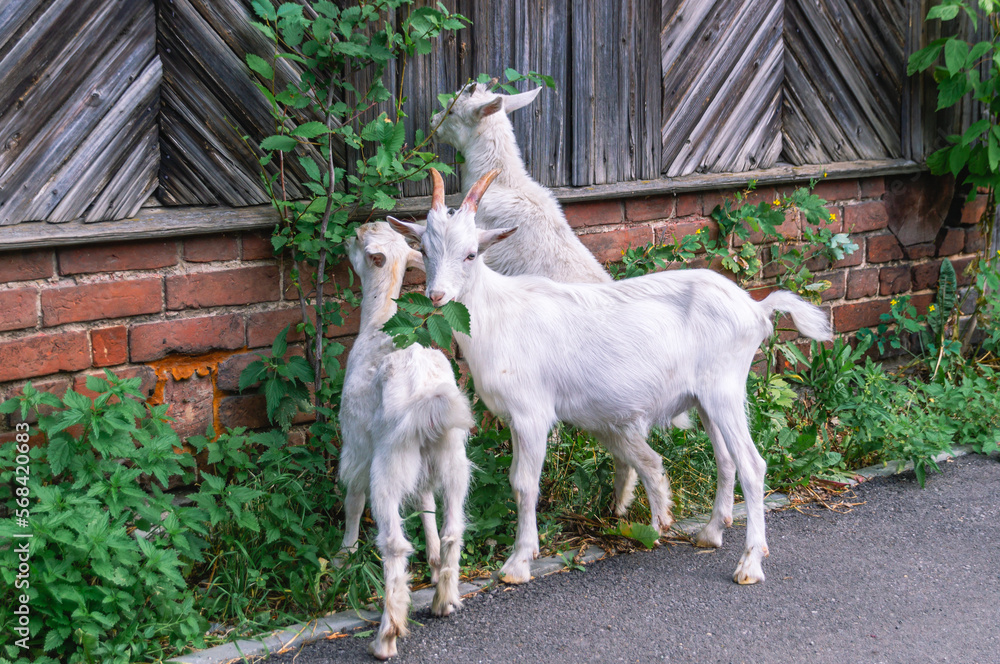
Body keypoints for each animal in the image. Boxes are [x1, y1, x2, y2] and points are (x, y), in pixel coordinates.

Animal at [339, 222, 474, 659]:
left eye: (361, 242)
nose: (347, 233)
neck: (378, 322)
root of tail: (425, 395)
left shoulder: (356, 446)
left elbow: (353, 499)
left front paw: (344, 555)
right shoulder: (426, 469)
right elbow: (427, 505)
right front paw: (431, 564)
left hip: (390, 463)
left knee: (395, 543)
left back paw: (387, 635)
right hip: (452, 459)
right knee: (453, 527)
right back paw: (444, 599)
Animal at [389, 169, 833, 586]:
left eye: (470, 254)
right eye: (424, 249)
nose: (436, 296)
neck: (496, 313)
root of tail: (757, 309)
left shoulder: (531, 414)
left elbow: (523, 484)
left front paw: (517, 563)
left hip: (723, 390)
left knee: (752, 465)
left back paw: (750, 563)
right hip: (707, 400)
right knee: (726, 459)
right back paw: (710, 533)